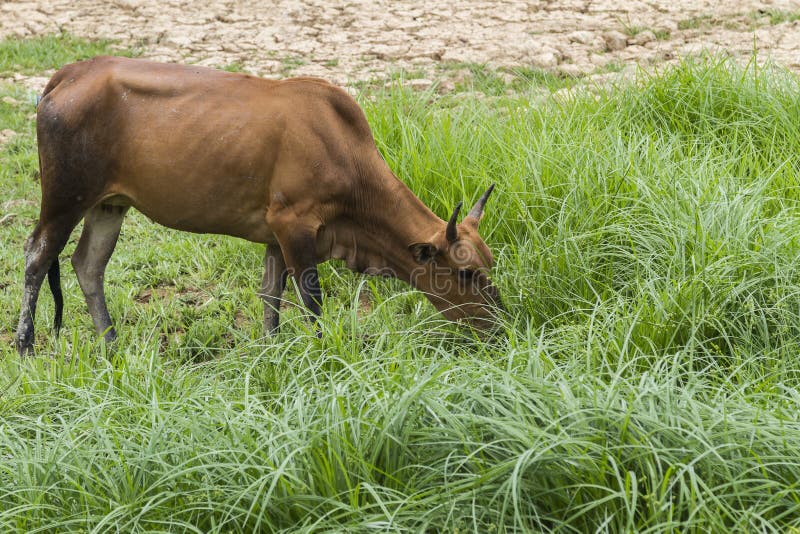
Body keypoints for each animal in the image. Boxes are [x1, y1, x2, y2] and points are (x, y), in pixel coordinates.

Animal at [15, 56, 503, 356]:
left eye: (489, 265)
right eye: (465, 273)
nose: (501, 327)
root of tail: (71, 72)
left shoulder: (275, 233)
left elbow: (271, 296)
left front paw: (270, 351)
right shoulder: (294, 225)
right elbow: (311, 300)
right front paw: (322, 353)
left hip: (109, 204)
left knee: (87, 264)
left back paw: (112, 344)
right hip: (65, 196)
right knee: (38, 256)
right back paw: (26, 346)